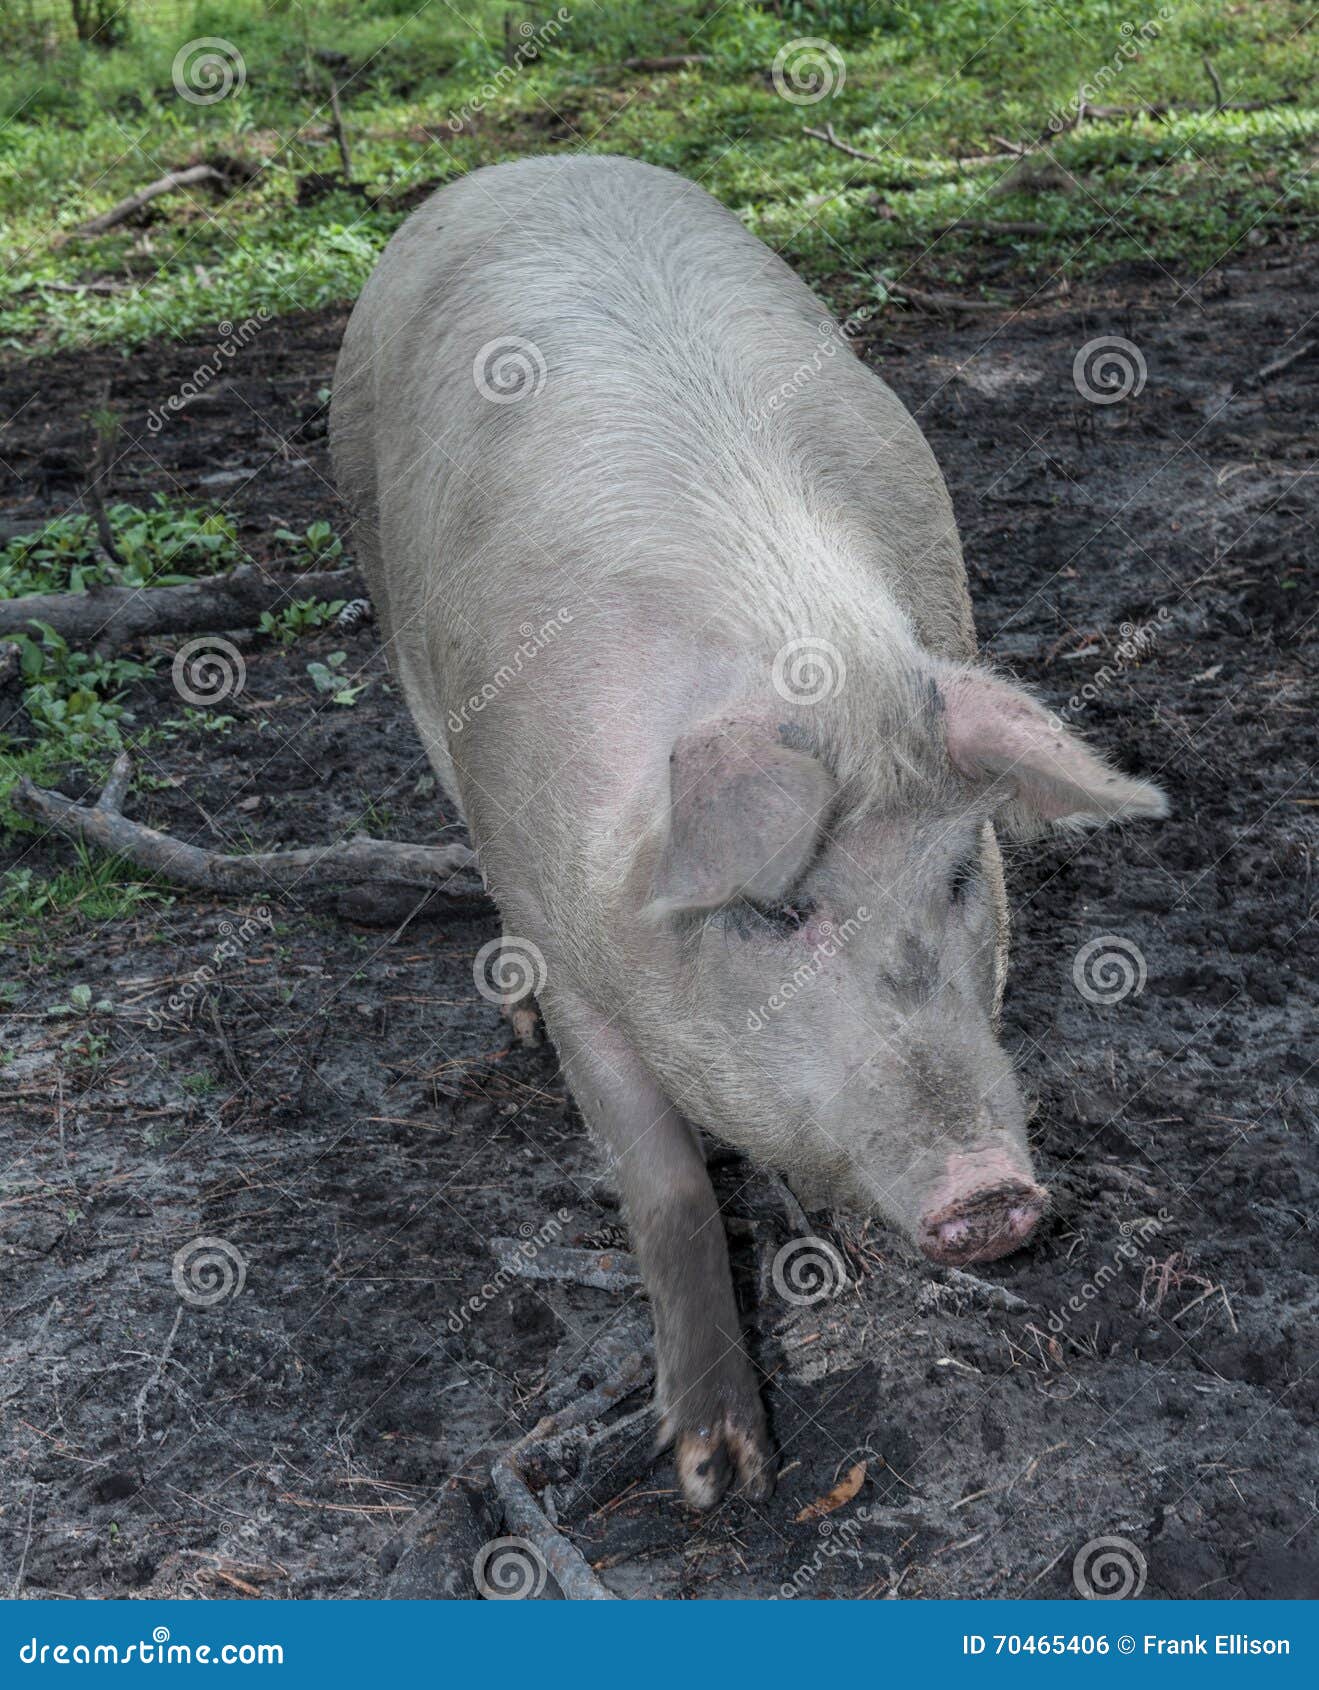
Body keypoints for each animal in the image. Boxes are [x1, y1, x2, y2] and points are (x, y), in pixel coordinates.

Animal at [330, 156, 1167, 1509]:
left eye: (955, 875)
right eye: (774, 909)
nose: (988, 1192)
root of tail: (520, 164)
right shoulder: (563, 920)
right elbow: (660, 1175)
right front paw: (718, 1478)